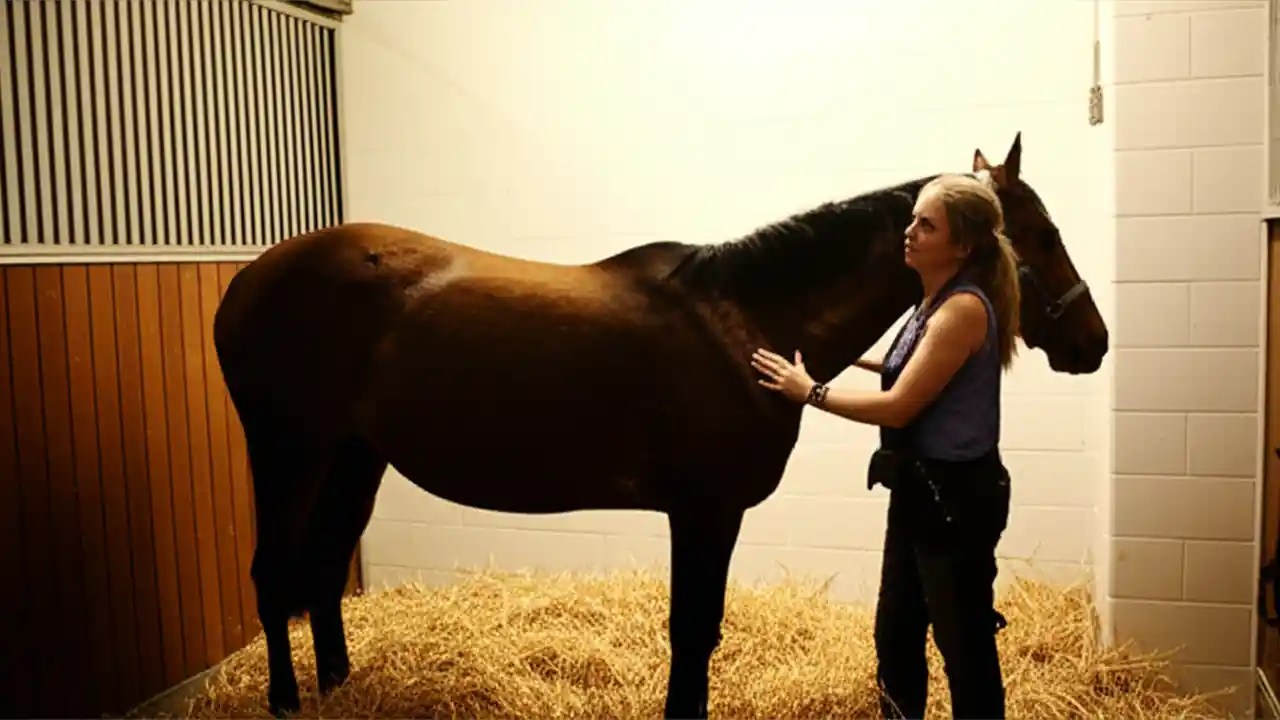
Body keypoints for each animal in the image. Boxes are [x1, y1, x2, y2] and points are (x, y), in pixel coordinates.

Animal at [212, 132, 1109, 718]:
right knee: (273, 571)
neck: (743, 316)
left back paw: (339, 689)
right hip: (287, 451)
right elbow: (692, 632)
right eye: (1043, 235)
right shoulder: (704, 511)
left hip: (353, 456)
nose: (1092, 342)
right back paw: (287, 701)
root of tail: (247, 282)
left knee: (321, 565)